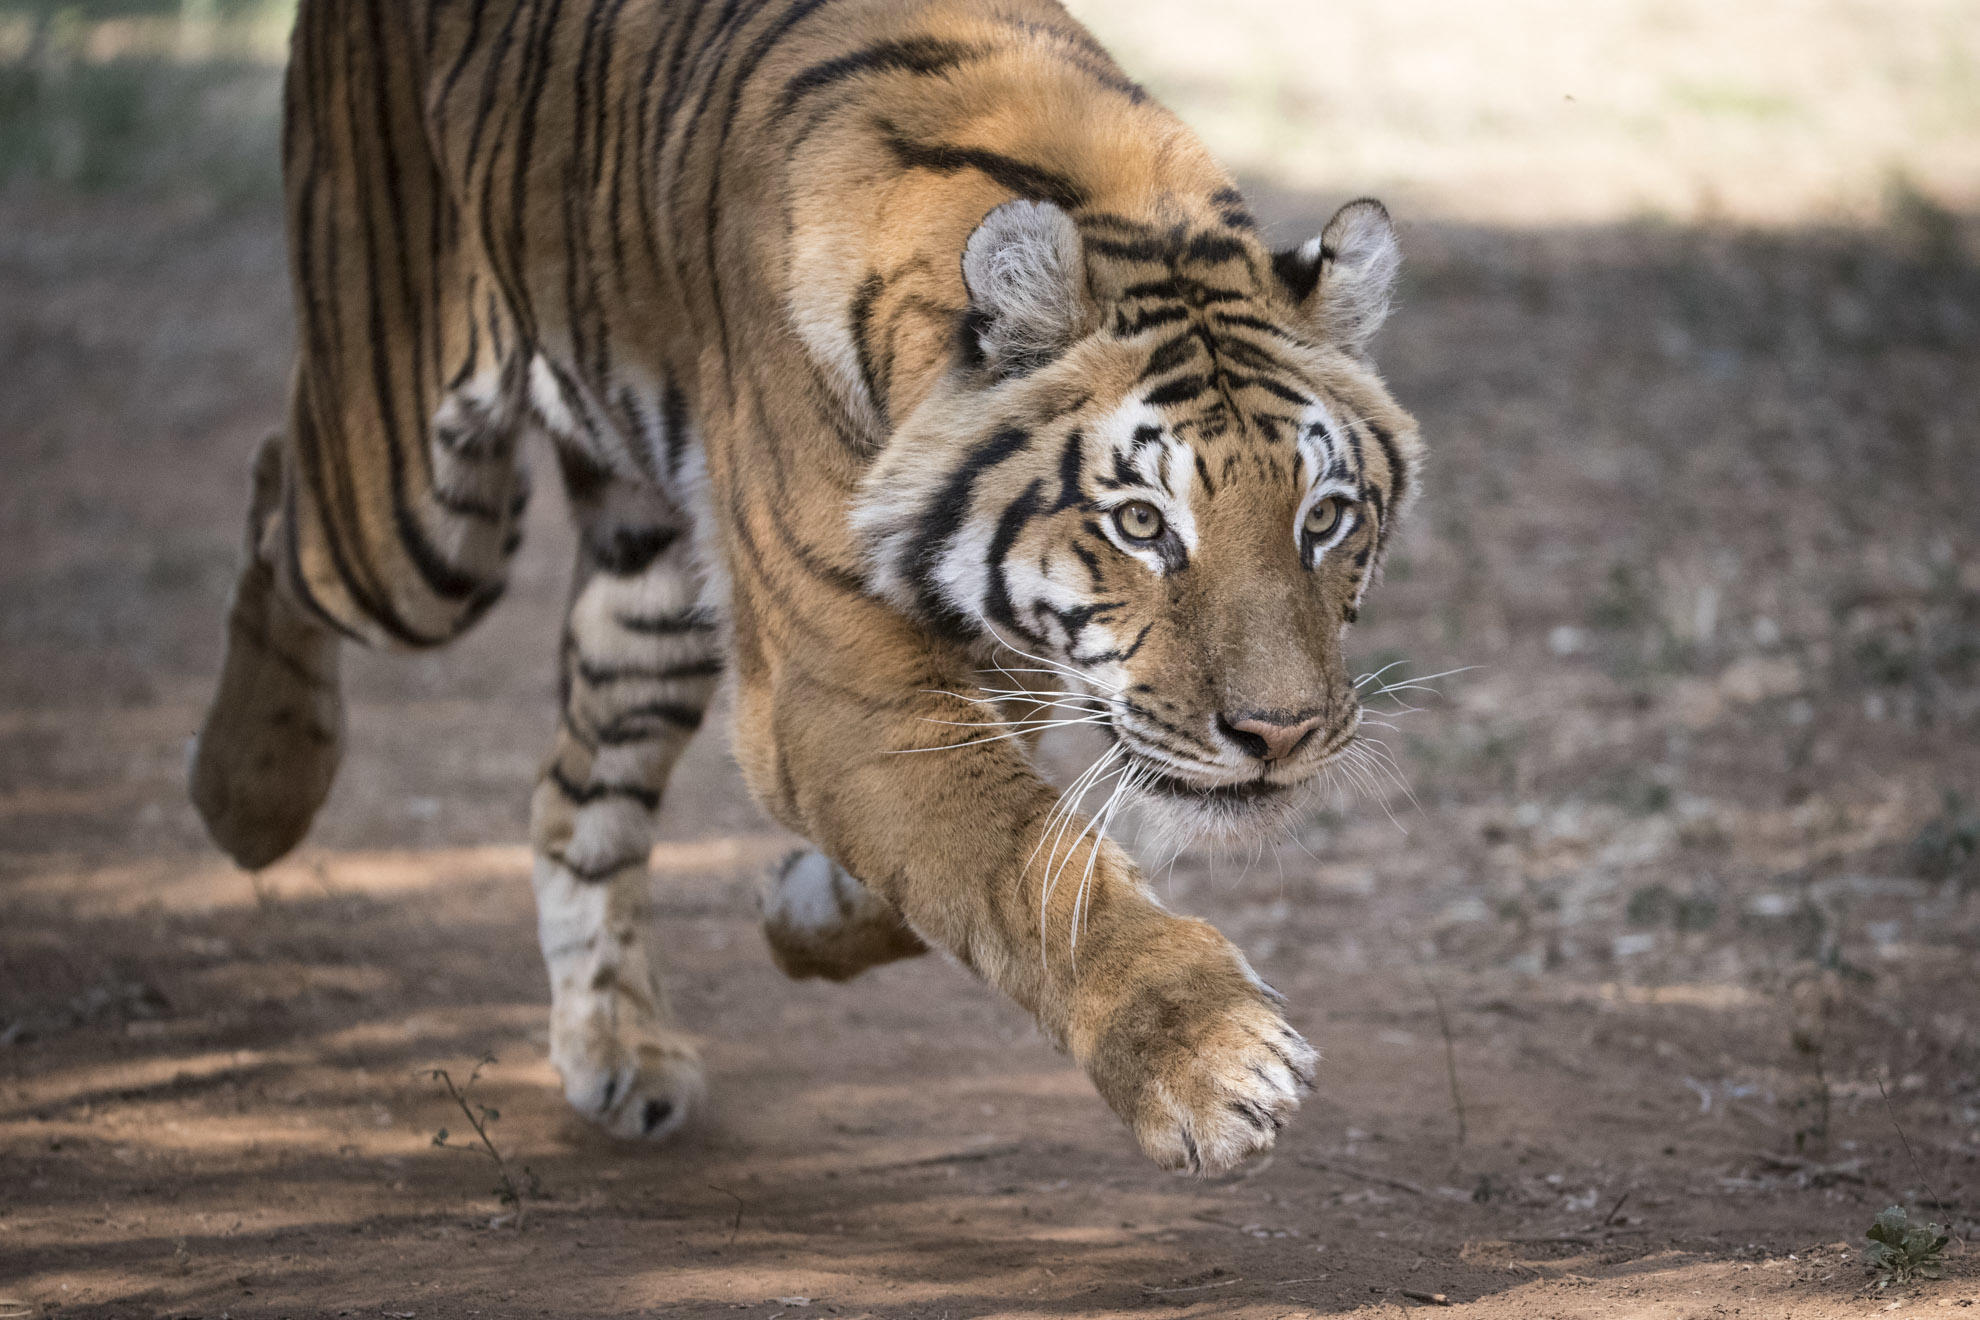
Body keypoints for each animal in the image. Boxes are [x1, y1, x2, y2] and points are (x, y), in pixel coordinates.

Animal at [187, 0, 1422, 1173]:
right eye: (1141, 524)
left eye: (1325, 518)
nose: (1280, 735)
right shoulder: (834, 693)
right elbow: (1017, 859)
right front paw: (1209, 1061)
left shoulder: (978, 664)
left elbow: (961, 863)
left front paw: (796, 911)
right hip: (413, 520)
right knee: (274, 487)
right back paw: (248, 795)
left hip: (656, 585)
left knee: (578, 792)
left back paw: (620, 1051)